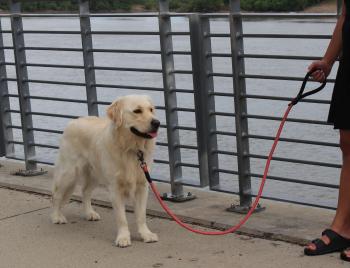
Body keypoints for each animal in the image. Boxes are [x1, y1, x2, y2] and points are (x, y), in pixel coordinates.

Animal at [50, 95, 160, 248]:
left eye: (151, 110)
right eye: (137, 111)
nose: (157, 123)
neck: (130, 149)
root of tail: (73, 121)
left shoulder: (142, 186)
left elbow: (141, 215)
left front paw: (146, 234)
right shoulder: (115, 188)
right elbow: (121, 218)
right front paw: (123, 238)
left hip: (94, 174)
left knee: (85, 192)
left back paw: (89, 213)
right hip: (69, 173)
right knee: (57, 195)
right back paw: (56, 216)